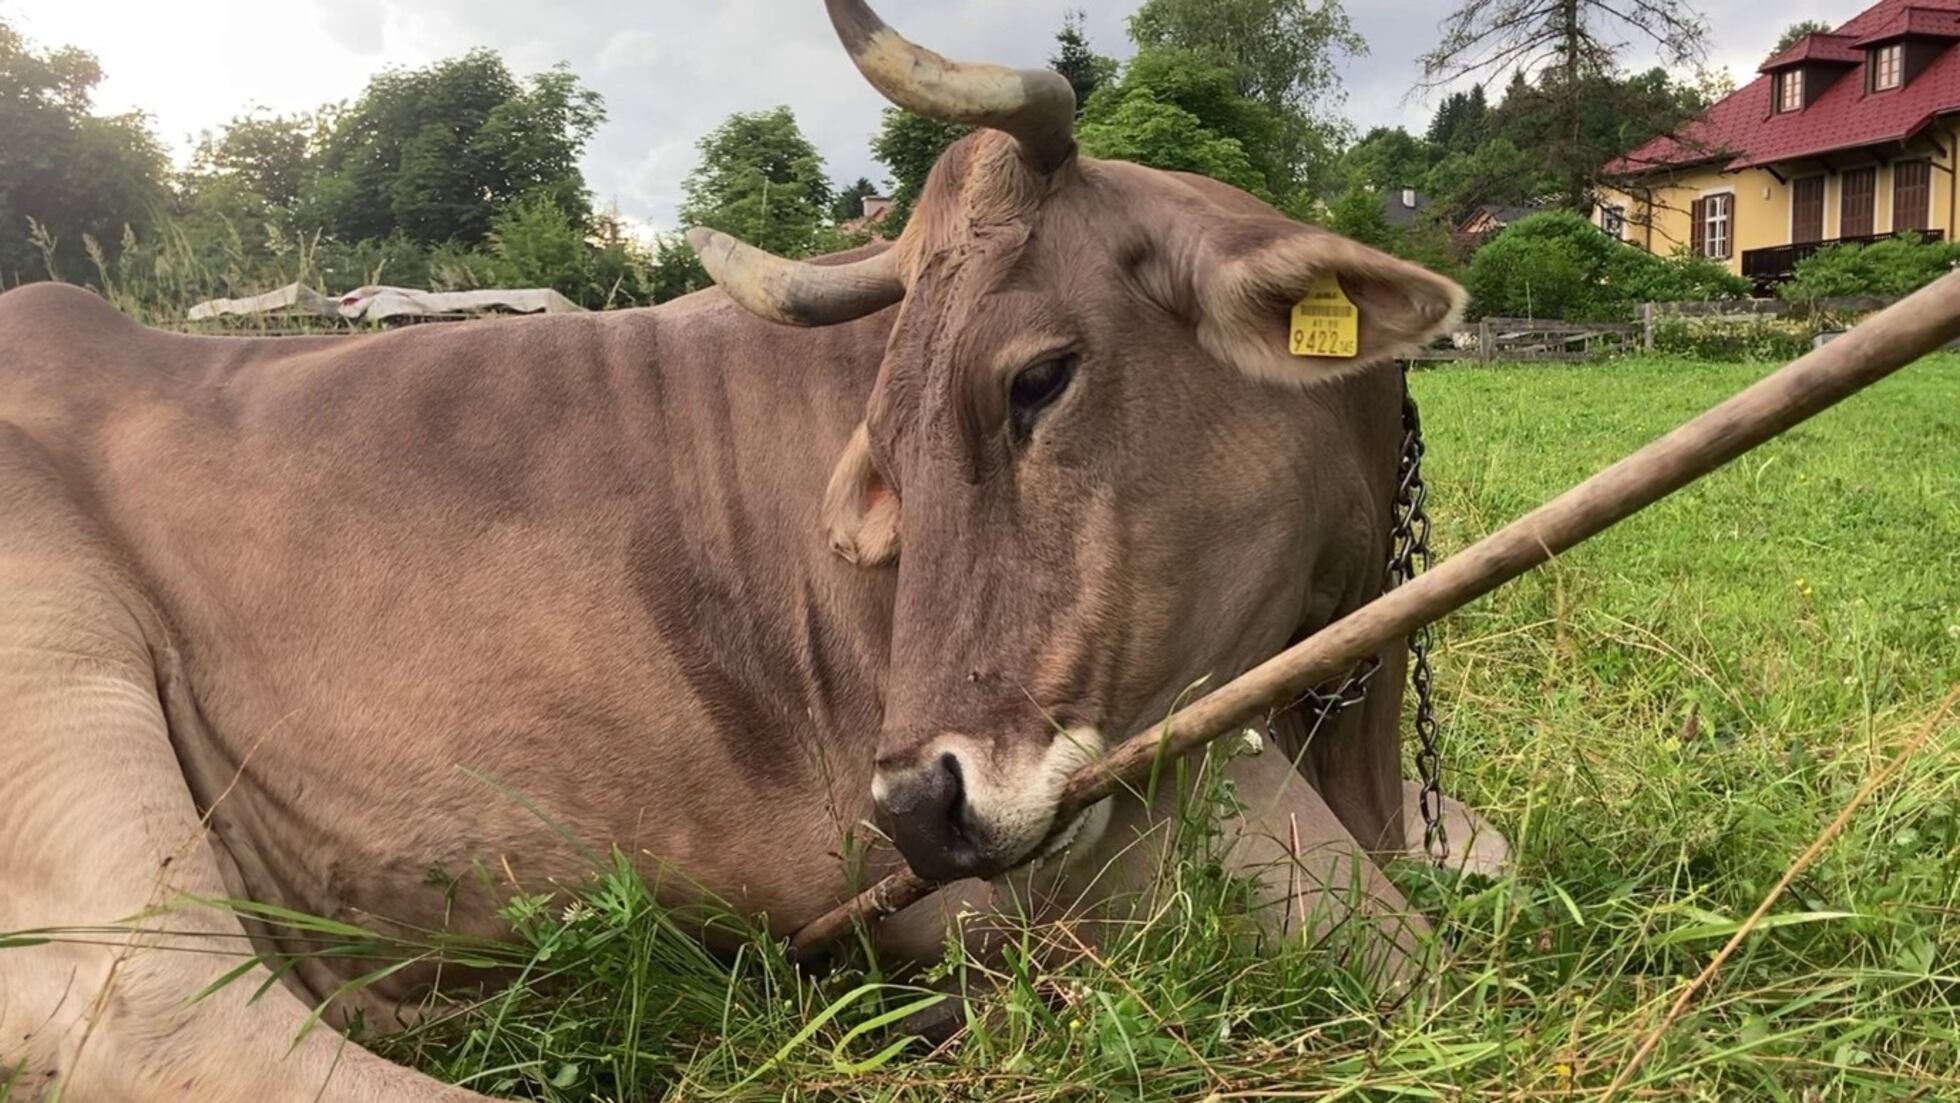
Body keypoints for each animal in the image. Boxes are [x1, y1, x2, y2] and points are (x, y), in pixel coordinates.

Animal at [0, 2, 1505, 1099]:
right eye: (886, 436)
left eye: (1039, 378)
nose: (912, 805)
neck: (1341, 714)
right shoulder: (1121, 825)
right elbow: (1413, 952)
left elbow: (1480, 856)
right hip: (68, 702)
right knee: (167, 1017)